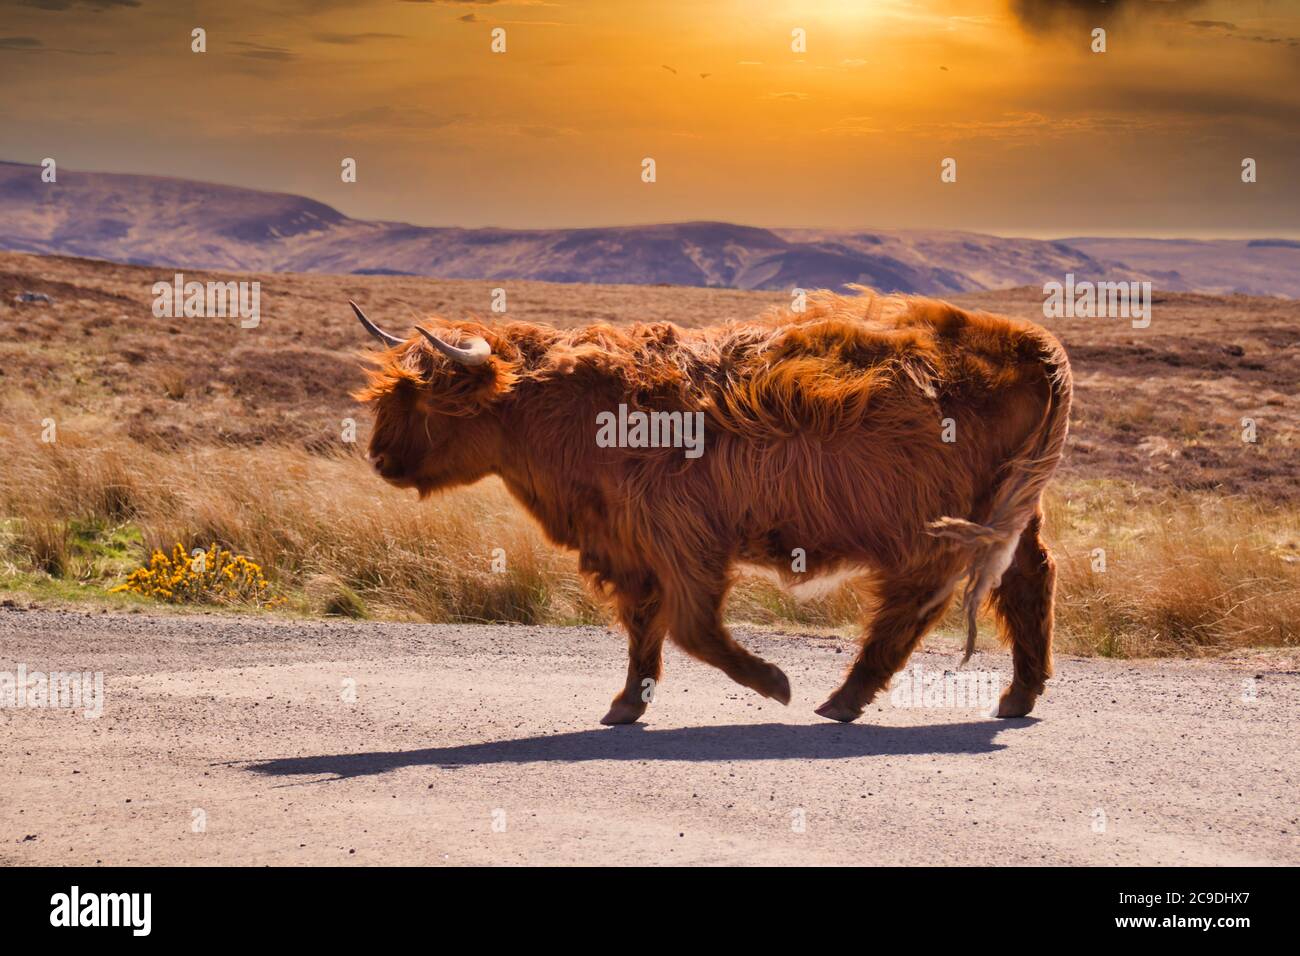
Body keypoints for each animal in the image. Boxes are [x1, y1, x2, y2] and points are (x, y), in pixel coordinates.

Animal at [350, 288, 1072, 725]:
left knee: (920, 599)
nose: (379, 458)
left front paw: (773, 681)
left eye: (425, 396)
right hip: (1007, 509)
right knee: (1028, 576)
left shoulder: (682, 537)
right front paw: (626, 705)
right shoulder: (628, 544)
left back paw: (842, 698)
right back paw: (1017, 694)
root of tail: (1022, 339)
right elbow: (645, 623)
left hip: (938, 525)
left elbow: (691, 627)